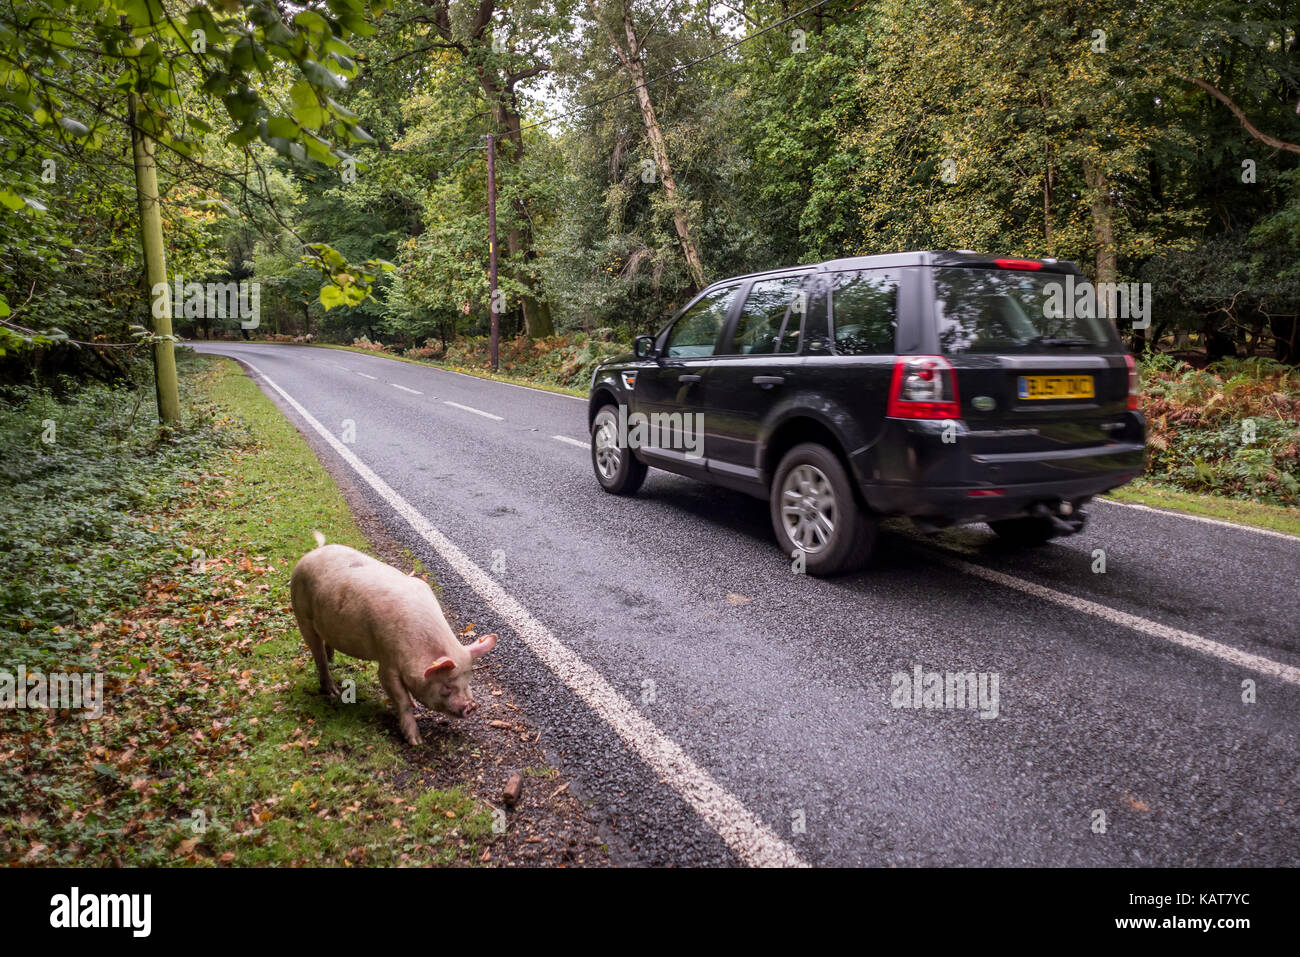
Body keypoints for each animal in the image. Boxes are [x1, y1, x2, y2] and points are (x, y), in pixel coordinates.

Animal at [289, 533, 497, 745]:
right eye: (447, 686)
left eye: (468, 679)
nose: (471, 706)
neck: (419, 647)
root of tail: (313, 552)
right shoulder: (387, 660)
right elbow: (400, 698)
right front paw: (415, 741)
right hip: (301, 614)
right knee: (318, 654)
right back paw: (333, 692)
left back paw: (333, 662)